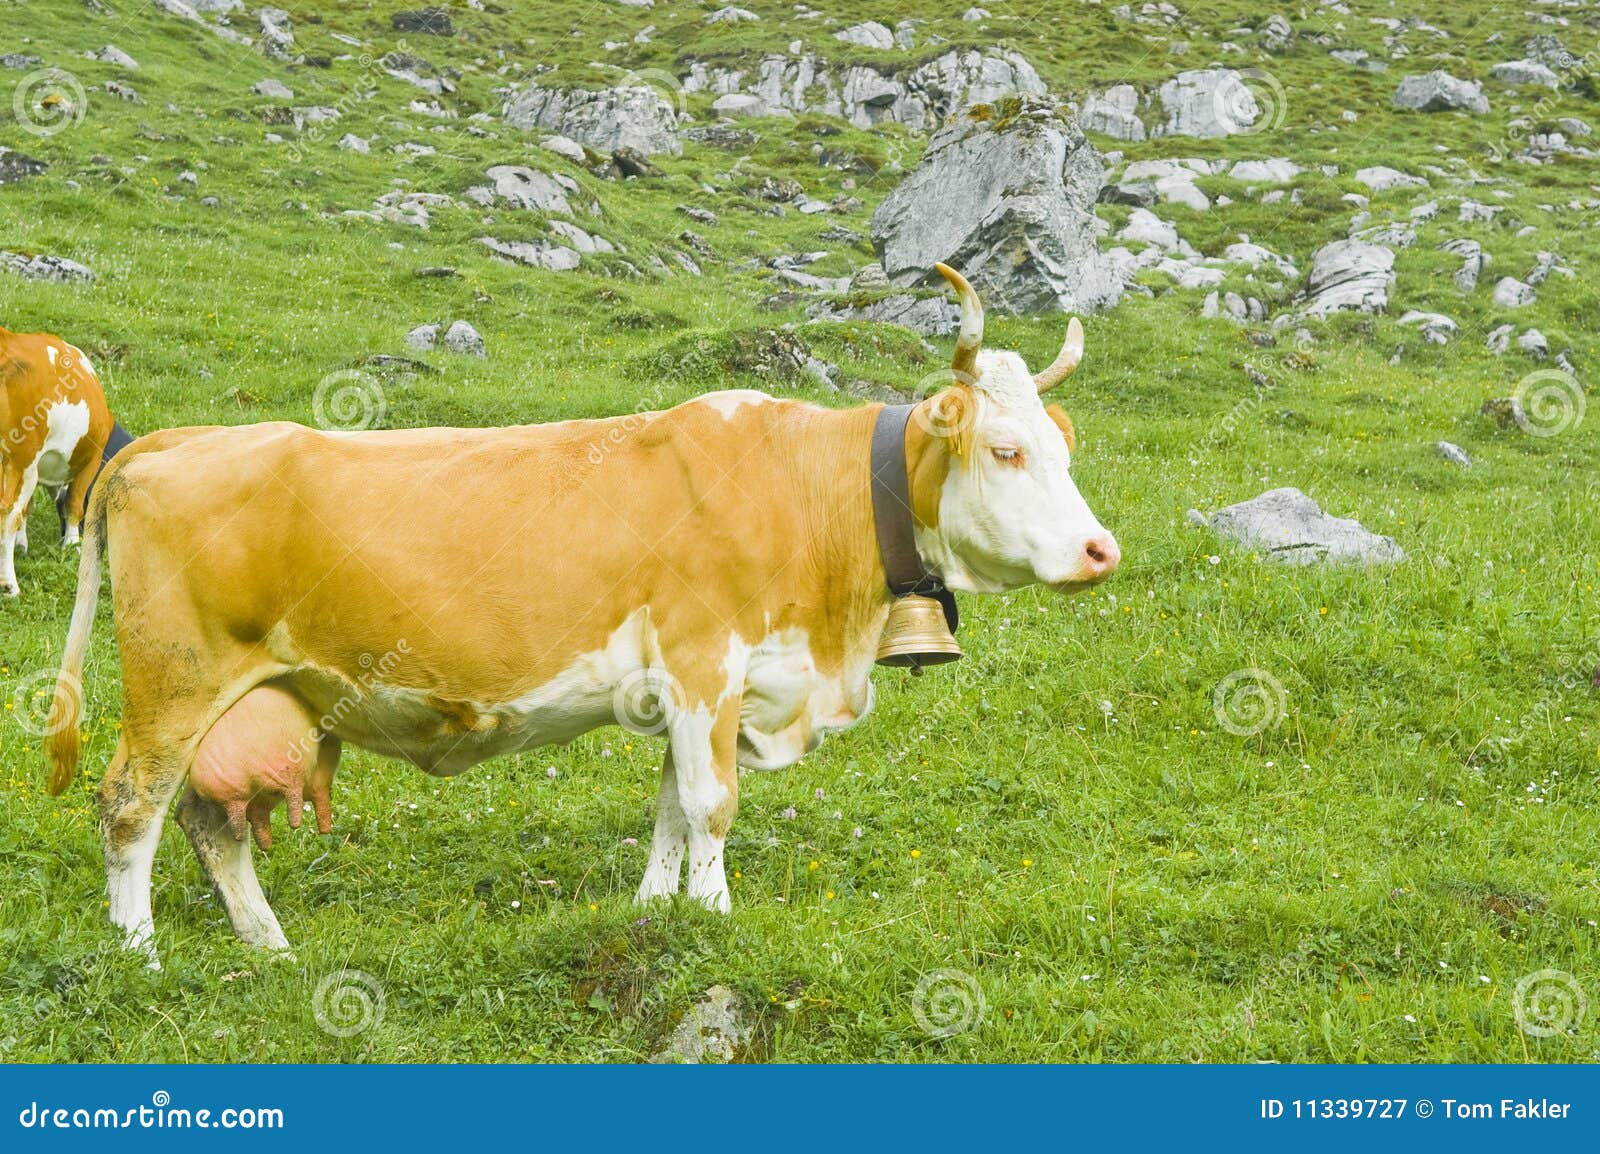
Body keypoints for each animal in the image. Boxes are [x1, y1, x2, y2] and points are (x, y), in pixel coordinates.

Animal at [0, 326, 131, 598]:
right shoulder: (89, 463)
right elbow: (75, 504)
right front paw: (72, 545)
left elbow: (28, 509)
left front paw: (22, 545)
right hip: (20, 460)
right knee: (7, 515)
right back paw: (9, 585)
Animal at [45, 265, 1120, 966]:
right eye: (1008, 450)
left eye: (1063, 448)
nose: (1100, 550)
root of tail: (169, 443)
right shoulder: (703, 661)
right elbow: (711, 803)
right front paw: (716, 923)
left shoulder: (699, 689)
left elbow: (670, 807)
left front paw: (657, 913)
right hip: (173, 683)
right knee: (131, 806)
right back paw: (137, 953)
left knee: (208, 818)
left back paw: (267, 946)